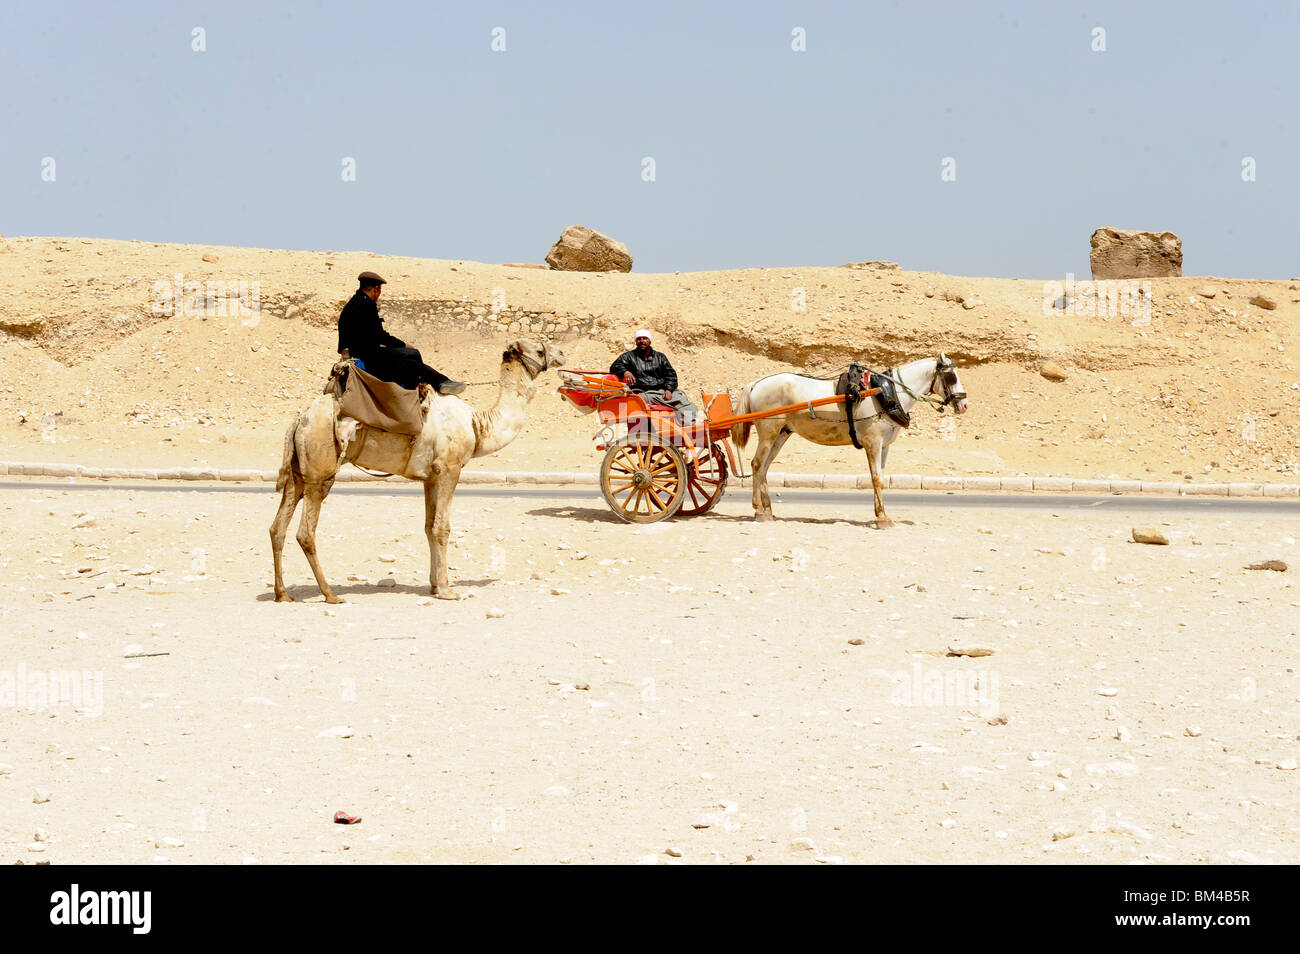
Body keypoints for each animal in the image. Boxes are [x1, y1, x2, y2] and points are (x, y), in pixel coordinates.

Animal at [270, 338, 564, 603]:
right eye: (539, 350)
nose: (560, 353)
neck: (477, 424)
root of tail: (299, 420)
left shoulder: (430, 477)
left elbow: (428, 527)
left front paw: (434, 586)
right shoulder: (449, 469)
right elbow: (442, 527)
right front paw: (447, 590)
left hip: (298, 473)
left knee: (277, 527)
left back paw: (283, 593)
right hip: (320, 471)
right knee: (305, 532)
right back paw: (330, 594)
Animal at [730, 354, 968, 526]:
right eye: (952, 377)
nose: (964, 405)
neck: (886, 392)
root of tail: (756, 383)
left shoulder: (884, 446)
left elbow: (880, 478)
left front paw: (879, 514)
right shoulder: (873, 443)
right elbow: (876, 479)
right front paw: (882, 519)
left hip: (782, 433)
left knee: (764, 468)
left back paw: (768, 510)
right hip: (768, 432)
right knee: (757, 464)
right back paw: (759, 510)